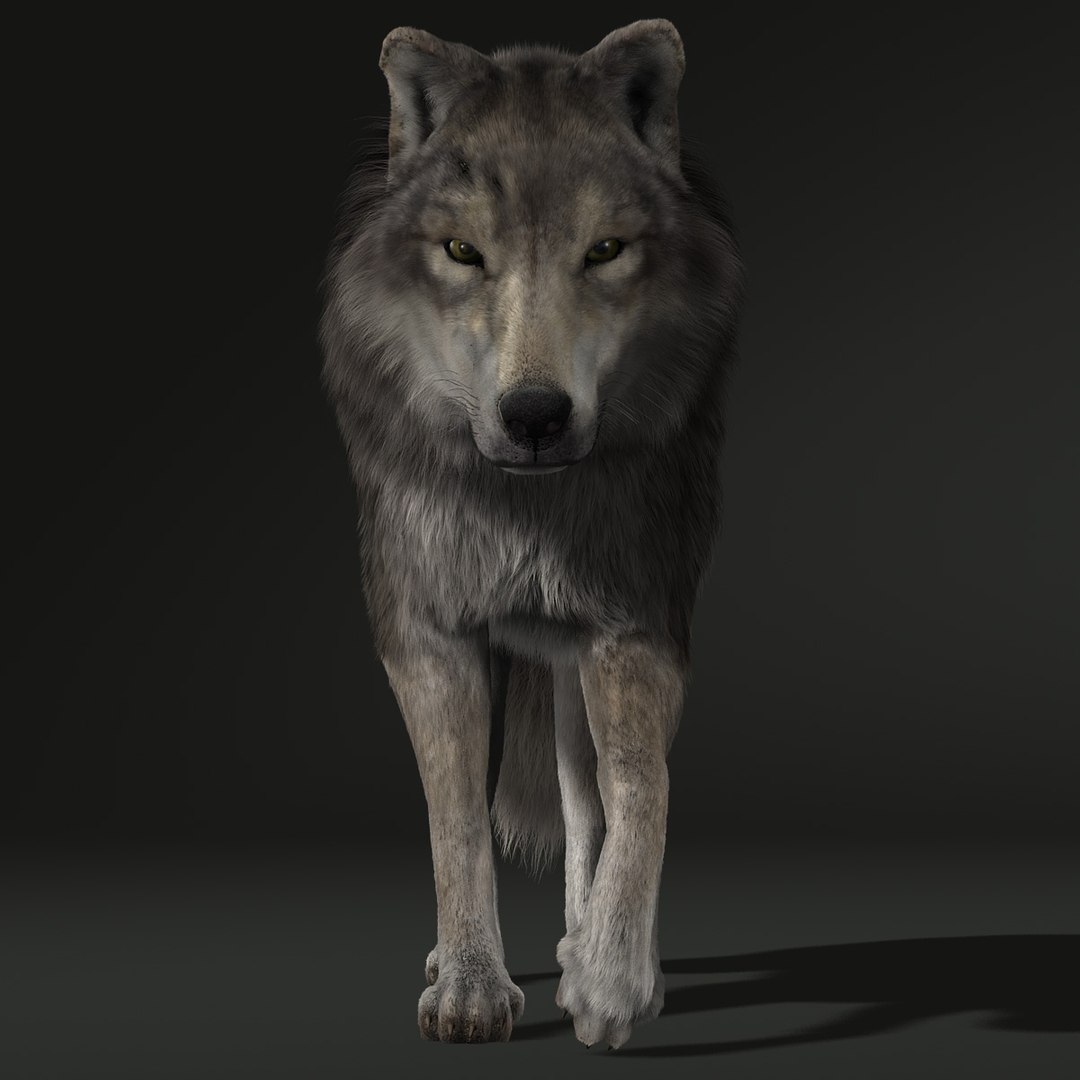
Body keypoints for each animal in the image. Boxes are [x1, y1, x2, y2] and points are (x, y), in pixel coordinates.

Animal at [320, 19, 743, 1048]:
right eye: (462, 251)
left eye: (605, 250)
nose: (537, 416)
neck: (532, 510)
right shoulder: (428, 635)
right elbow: (456, 820)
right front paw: (470, 986)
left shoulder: (634, 625)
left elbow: (638, 791)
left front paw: (615, 976)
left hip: (572, 664)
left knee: (586, 798)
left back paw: (597, 949)